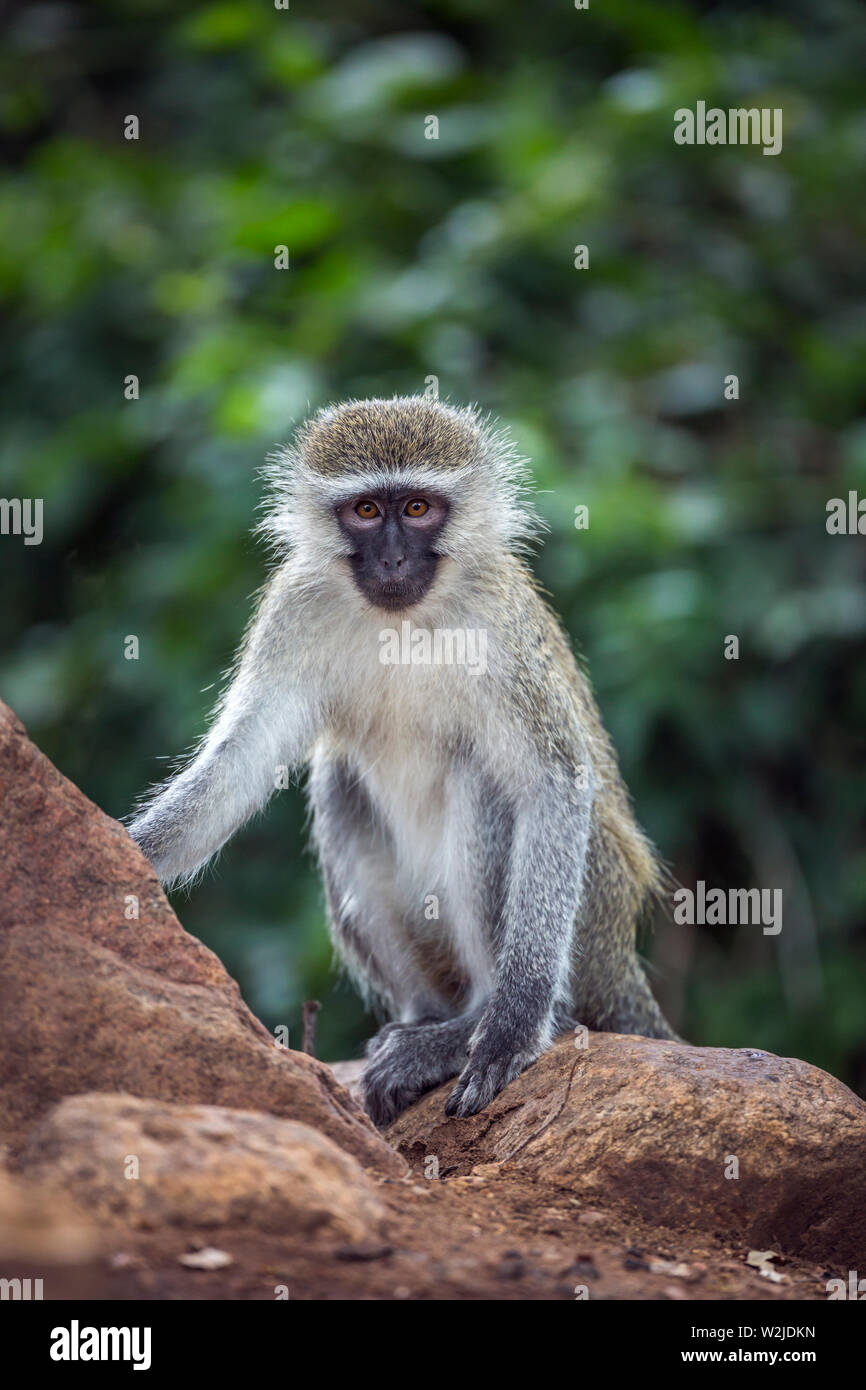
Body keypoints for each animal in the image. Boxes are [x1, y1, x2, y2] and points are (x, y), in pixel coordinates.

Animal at [128, 396, 678, 1127]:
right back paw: (423, 1020)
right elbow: (240, 764)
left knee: (485, 783)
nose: (390, 559)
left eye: (417, 509)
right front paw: (126, 851)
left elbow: (554, 782)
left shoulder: (501, 628)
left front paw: (513, 1023)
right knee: (338, 784)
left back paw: (474, 1028)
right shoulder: (294, 608)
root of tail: (623, 968)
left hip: (597, 915)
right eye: (366, 511)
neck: (406, 622)